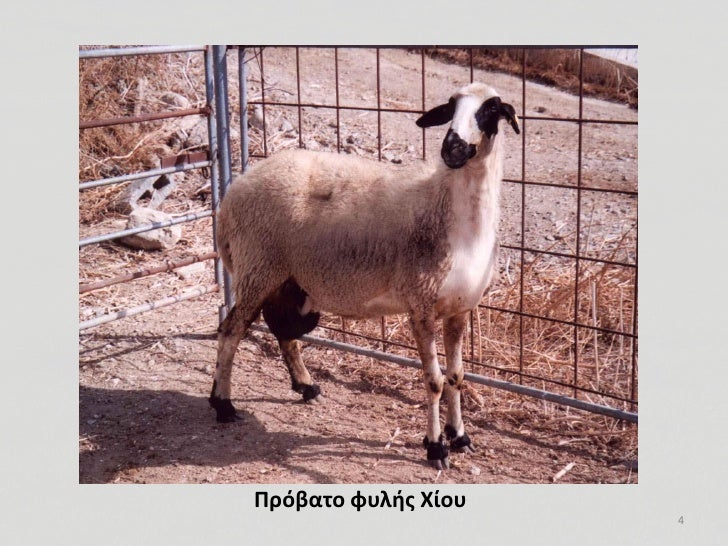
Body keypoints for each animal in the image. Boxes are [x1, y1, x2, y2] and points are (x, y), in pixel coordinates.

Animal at [209, 82, 520, 469]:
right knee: (231, 330)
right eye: (451, 108)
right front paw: (436, 446)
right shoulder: (421, 304)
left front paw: (460, 436)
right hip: (257, 267)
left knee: (284, 333)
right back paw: (223, 404)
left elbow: (457, 376)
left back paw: (306, 386)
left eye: (490, 110)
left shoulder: (460, 309)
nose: (452, 148)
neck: (449, 212)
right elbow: (434, 381)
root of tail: (235, 189)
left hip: (287, 281)